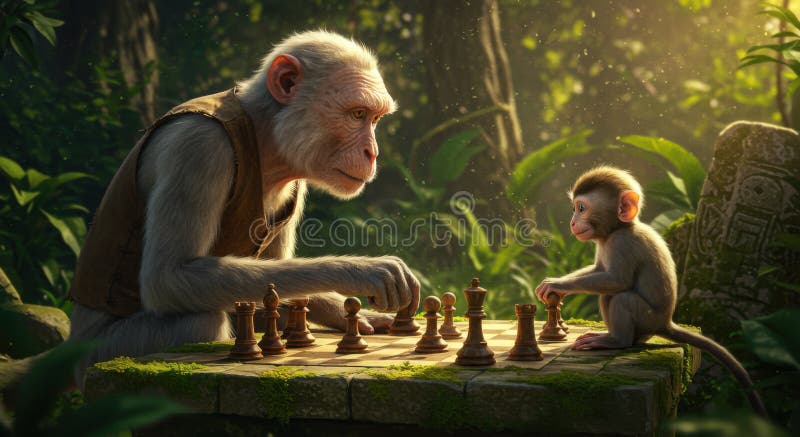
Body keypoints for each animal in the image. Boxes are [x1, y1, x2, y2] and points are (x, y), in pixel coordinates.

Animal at [68, 31, 420, 387]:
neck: (267, 141)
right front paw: (361, 271)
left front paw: (343, 309)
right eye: (357, 115)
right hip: (102, 351)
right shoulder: (198, 147)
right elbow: (167, 275)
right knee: (200, 321)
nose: (372, 152)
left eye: (375, 118)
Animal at [534, 165, 768, 417]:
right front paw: (557, 282)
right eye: (574, 208)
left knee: (621, 298)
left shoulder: (622, 243)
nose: (572, 222)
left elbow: (616, 280)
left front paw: (558, 287)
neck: (619, 228)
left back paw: (615, 340)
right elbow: (598, 271)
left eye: (581, 208)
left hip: (648, 317)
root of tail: (665, 323)